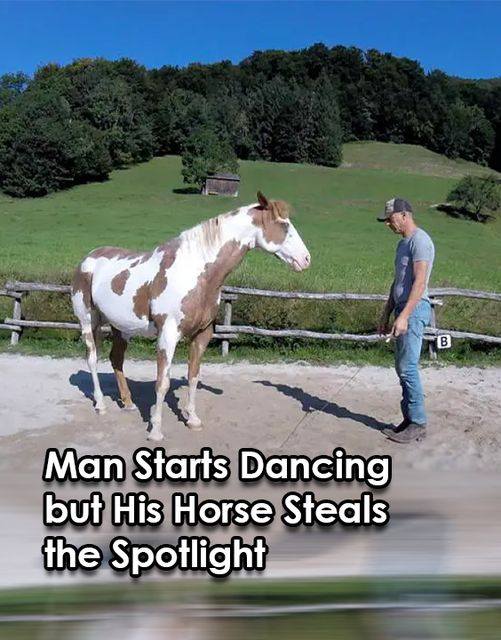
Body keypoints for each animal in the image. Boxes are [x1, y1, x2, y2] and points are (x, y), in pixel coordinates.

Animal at [71, 191, 311, 441]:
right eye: (283, 225)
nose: (306, 259)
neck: (195, 273)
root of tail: (88, 259)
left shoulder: (202, 334)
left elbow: (193, 376)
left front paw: (193, 419)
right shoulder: (167, 335)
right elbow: (162, 383)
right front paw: (155, 430)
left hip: (121, 327)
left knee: (116, 358)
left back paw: (127, 403)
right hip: (87, 321)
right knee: (92, 358)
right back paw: (100, 405)